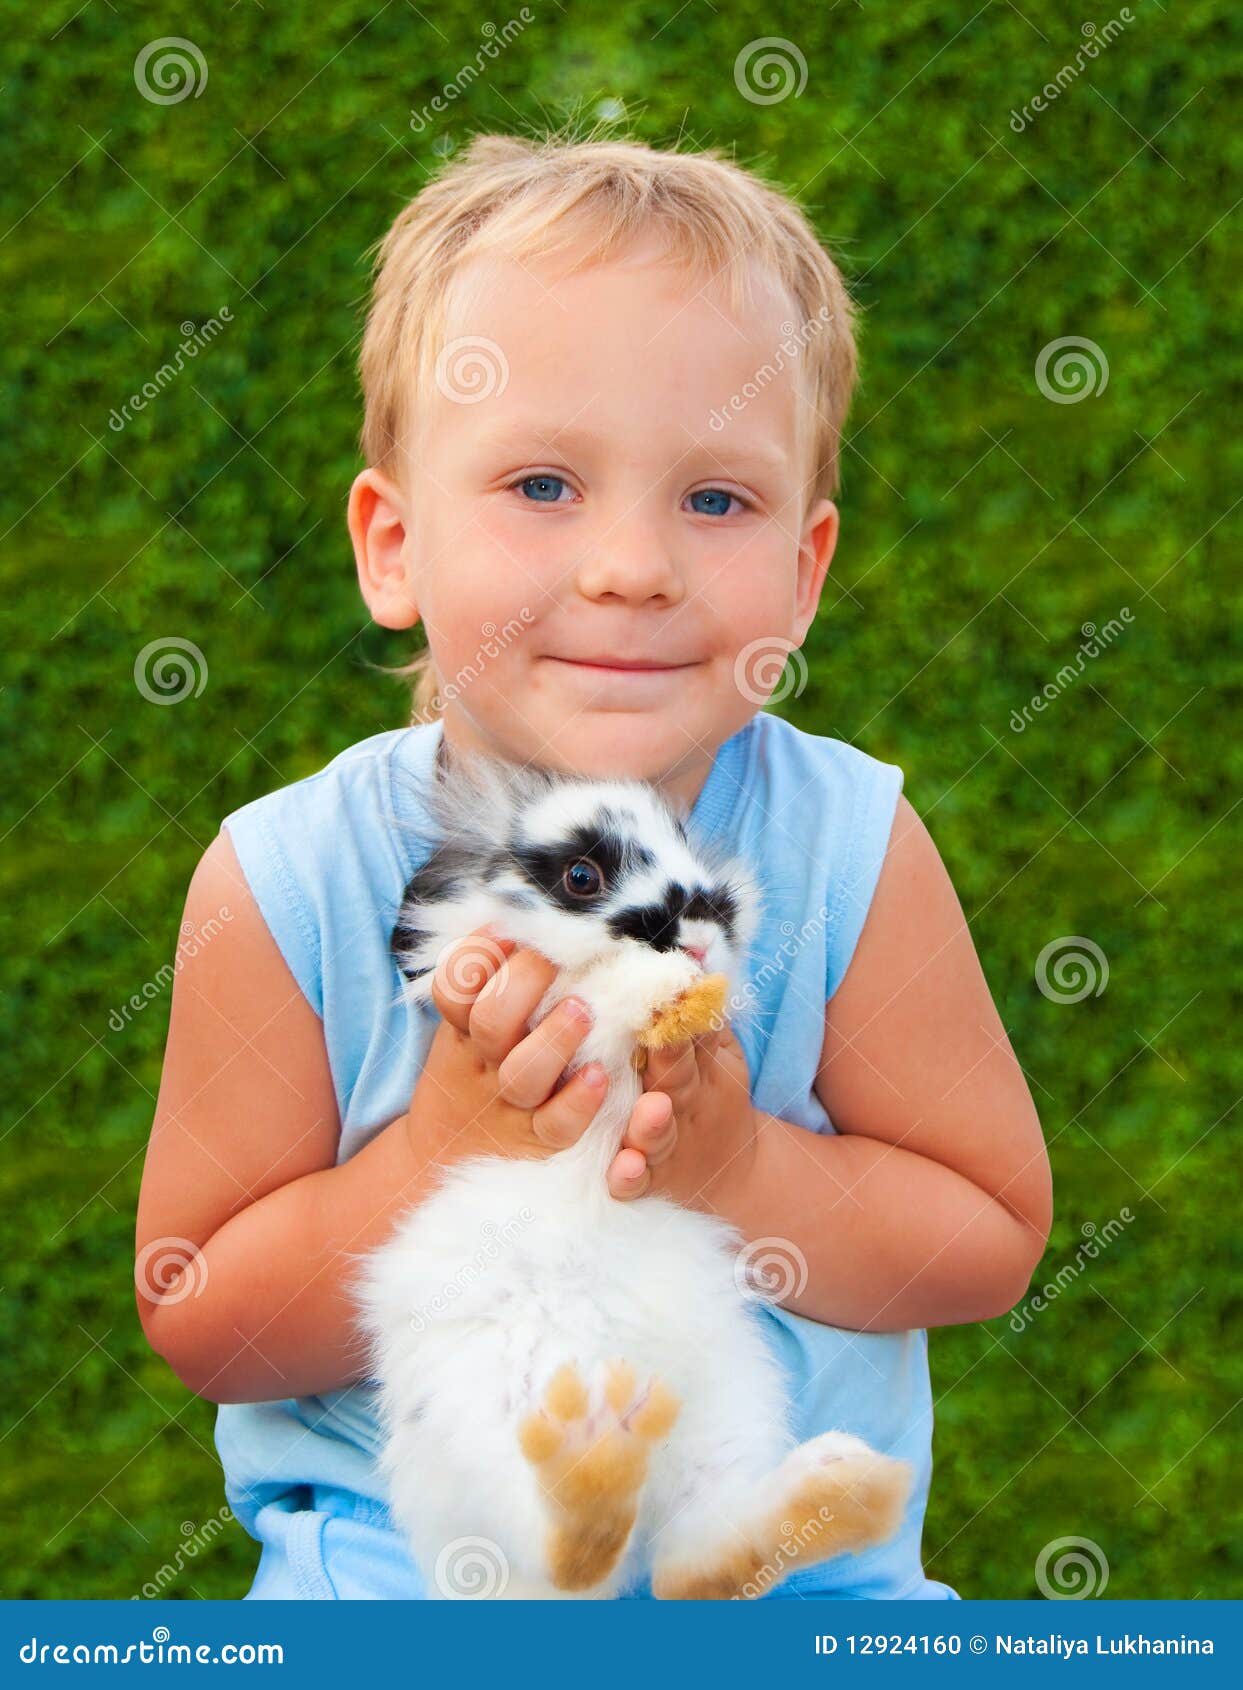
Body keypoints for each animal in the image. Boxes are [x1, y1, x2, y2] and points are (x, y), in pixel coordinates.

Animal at [355, 742, 913, 1600]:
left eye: (683, 841)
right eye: (581, 876)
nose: (701, 929)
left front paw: (699, 997)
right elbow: (592, 996)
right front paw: (670, 992)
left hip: (729, 1396)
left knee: (695, 1561)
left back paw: (842, 1488)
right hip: (486, 1412)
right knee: (572, 1556)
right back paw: (591, 1470)